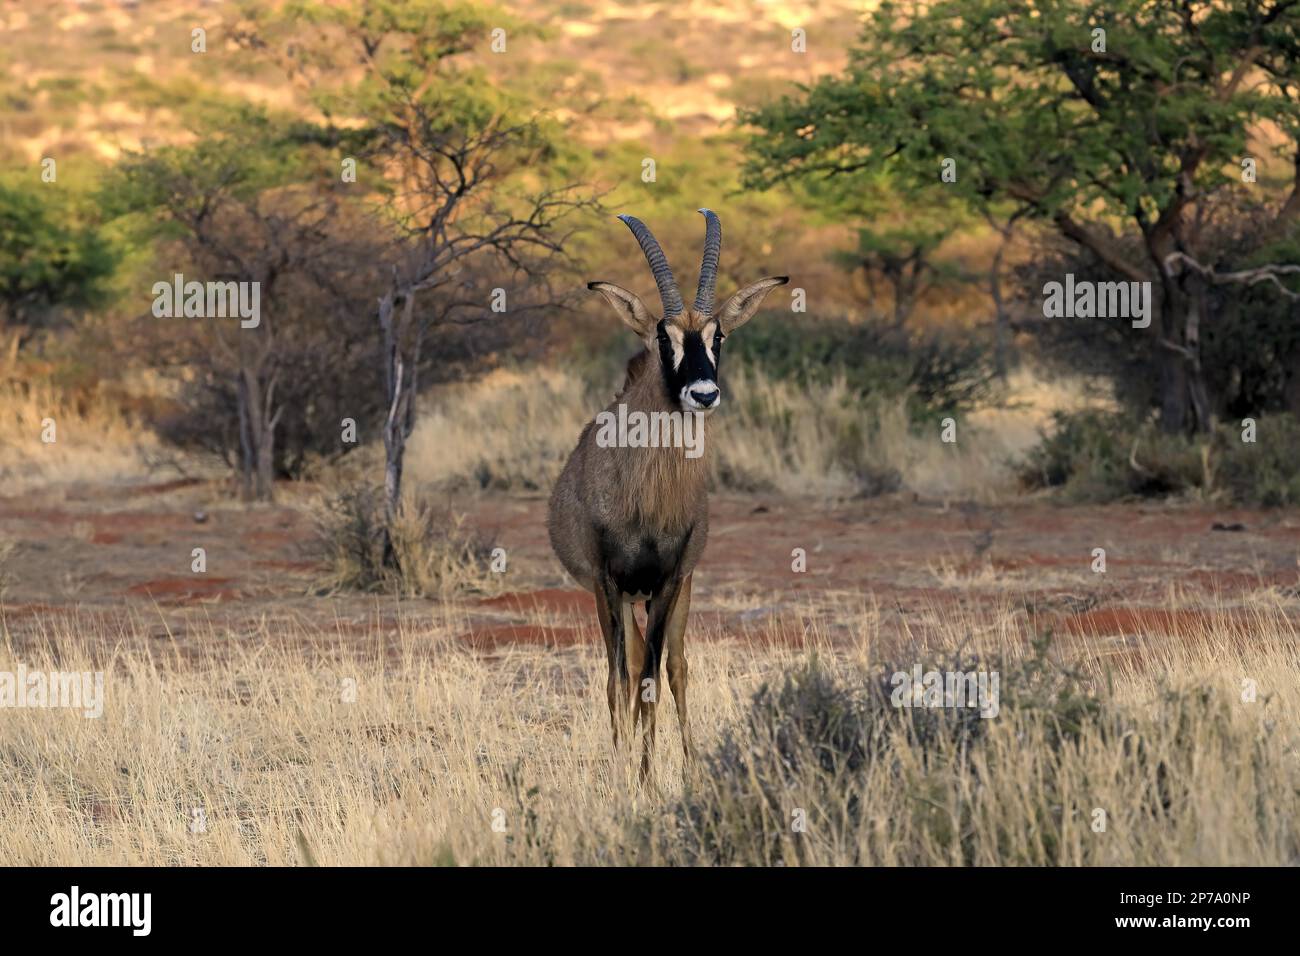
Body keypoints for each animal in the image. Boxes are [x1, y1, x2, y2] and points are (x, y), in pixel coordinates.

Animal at [548, 209, 787, 780]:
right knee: (627, 668)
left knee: (674, 665)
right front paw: (624, 775)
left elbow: (654, 680)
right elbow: (620, 680)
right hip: (613, 597)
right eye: (664, 337)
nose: (703, 393)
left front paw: (649, 780)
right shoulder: (608, 583)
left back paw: (693, 765)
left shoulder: (668, 582)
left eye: (718, 337)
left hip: (680, 589)